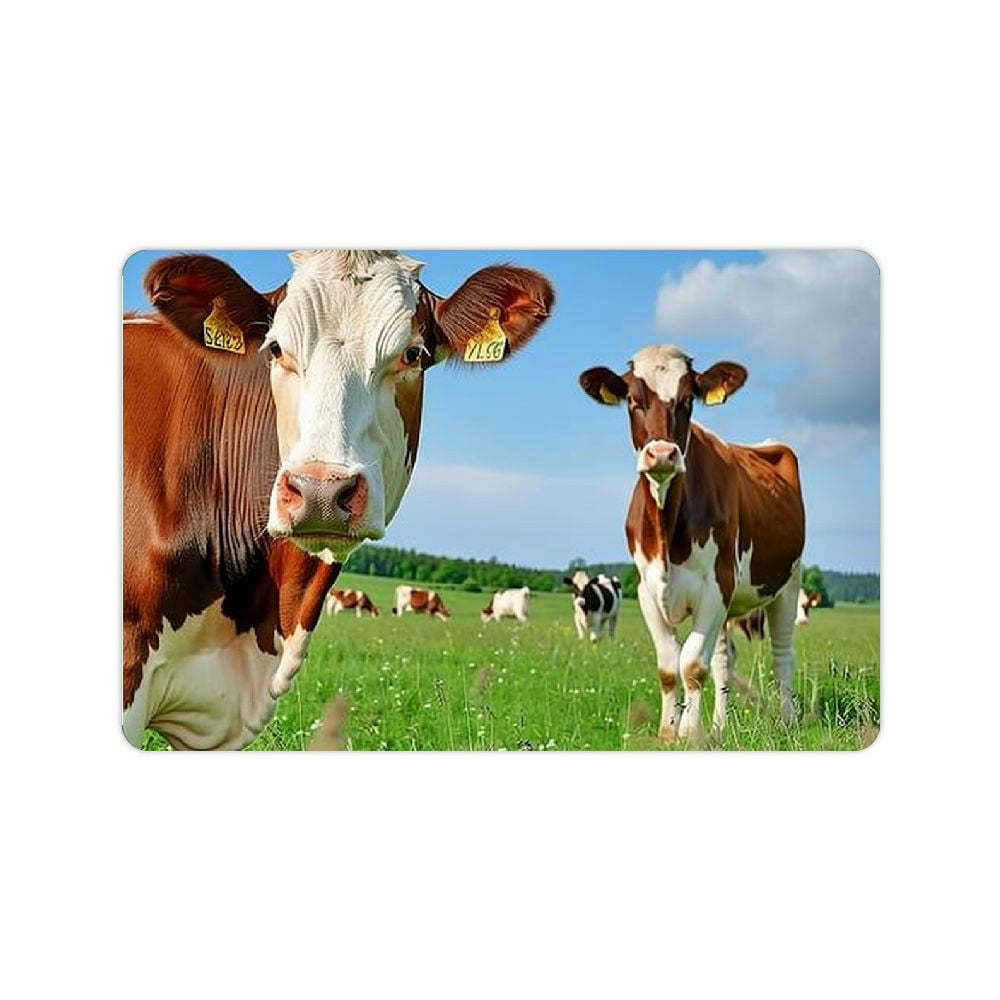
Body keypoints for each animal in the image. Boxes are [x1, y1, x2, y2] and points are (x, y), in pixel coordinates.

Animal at [578, 344, 806, 742]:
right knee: (723, 660)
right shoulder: (647, 588)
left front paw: (690, 734)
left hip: (788, 584)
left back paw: (787, 721)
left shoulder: (717, 583)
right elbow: (671, 666)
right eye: (633, 400)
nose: (662, 454)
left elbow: (692, 665)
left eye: (688, 400)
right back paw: (719, 726)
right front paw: (670, 731)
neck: (667, 532)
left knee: (782, 654)